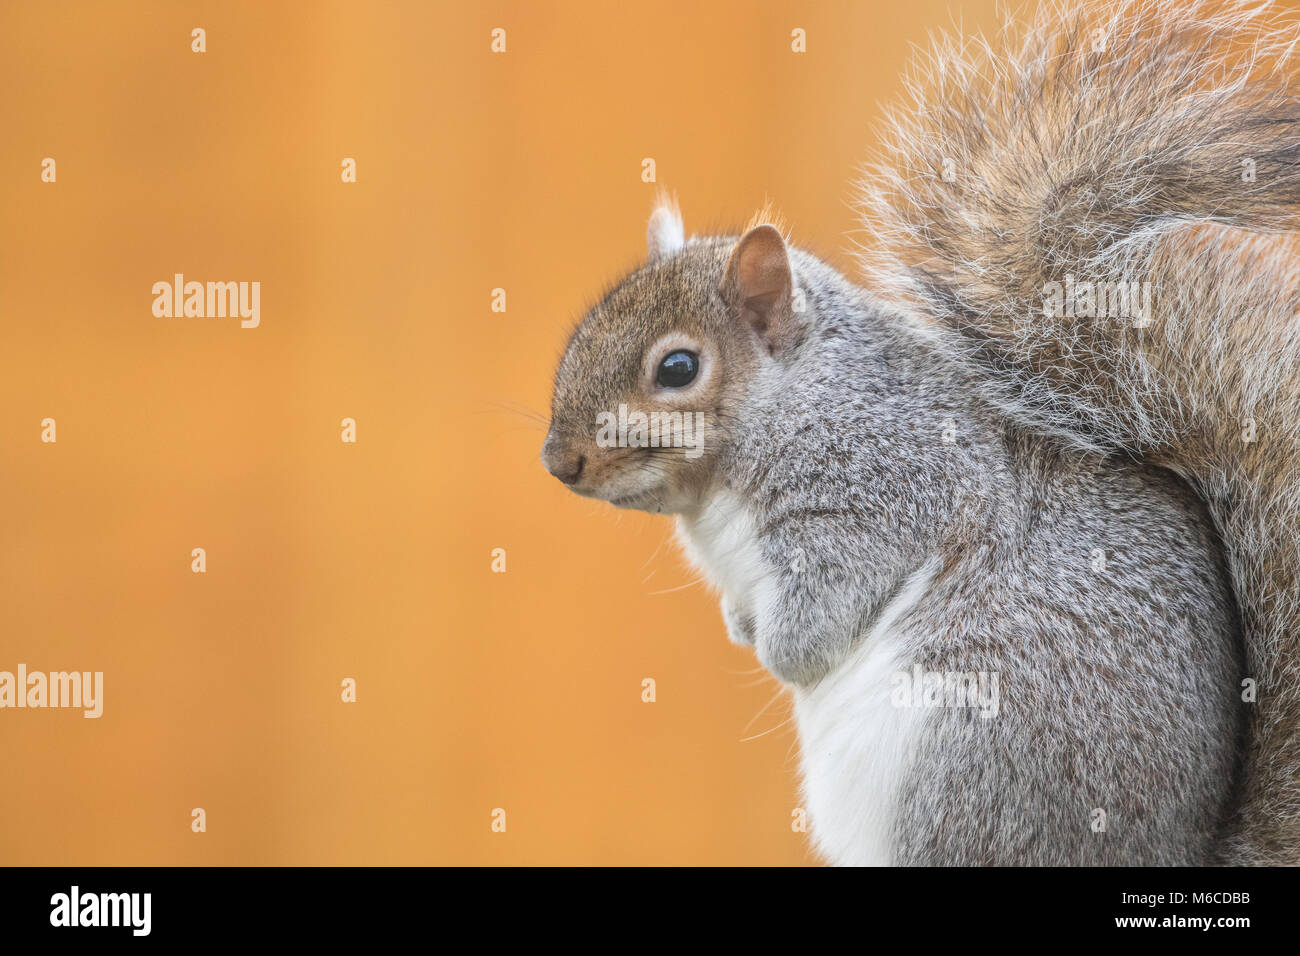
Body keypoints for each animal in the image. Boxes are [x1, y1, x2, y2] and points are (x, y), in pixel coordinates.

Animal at [541, 0, 1300, 865]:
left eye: (676, 368)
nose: (558, 461)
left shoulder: (878, 492)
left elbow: (825, 605)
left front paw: (781, 654)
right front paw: (744, 627)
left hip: (965, 767)